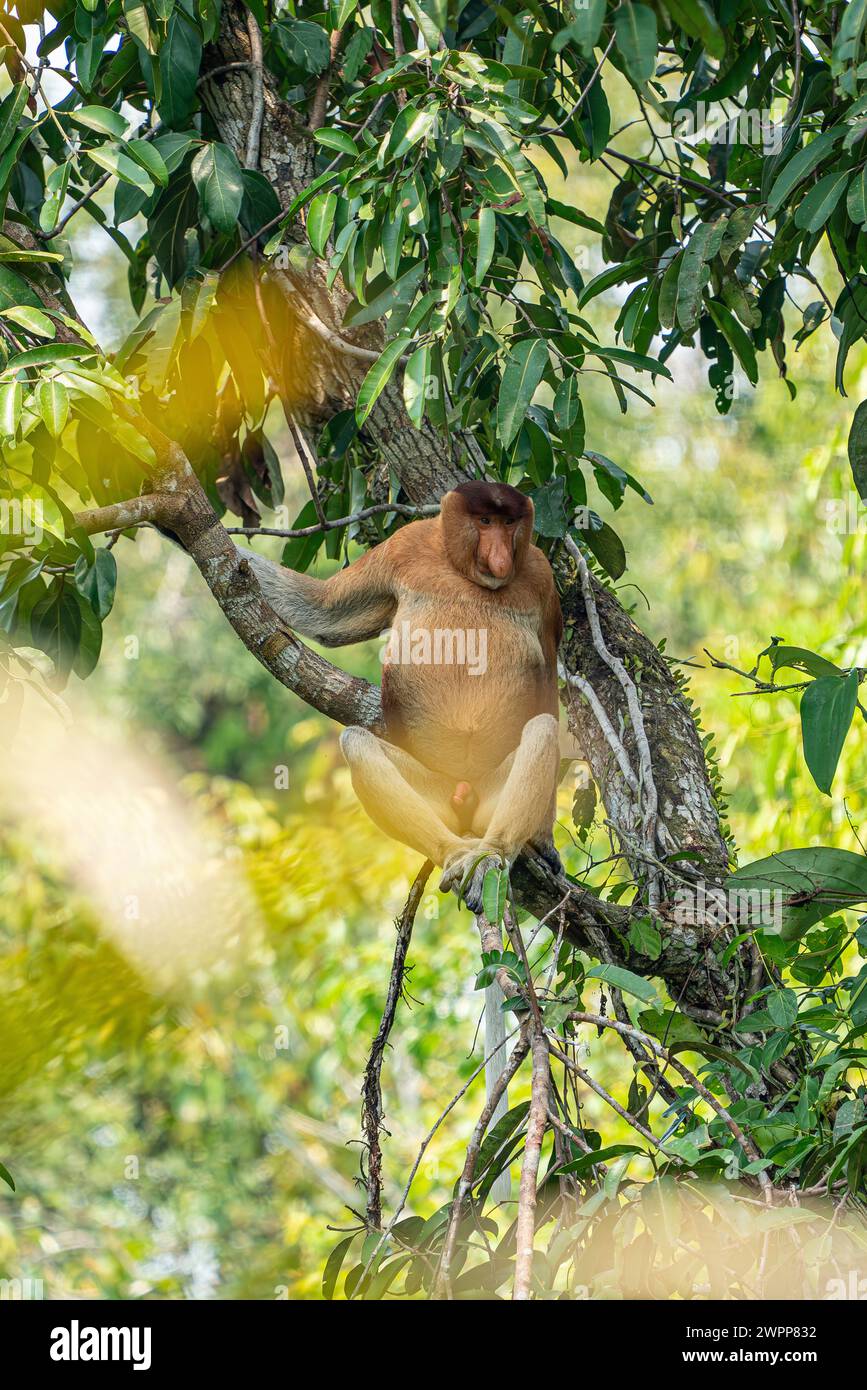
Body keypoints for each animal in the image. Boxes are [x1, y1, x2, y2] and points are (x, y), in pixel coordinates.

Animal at [242, 480, 565, 915]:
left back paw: (491, 854)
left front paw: (544, 841)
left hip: (489, 796)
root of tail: (464, 794)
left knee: (543, 728)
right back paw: (455, 854)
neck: (462, 570)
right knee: (356, 742)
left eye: (509, 522)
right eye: (485, 521)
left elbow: (547, 685)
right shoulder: (402, 546)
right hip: (435, 793)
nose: (499, 557)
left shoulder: (541, 577)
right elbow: (323, 611)